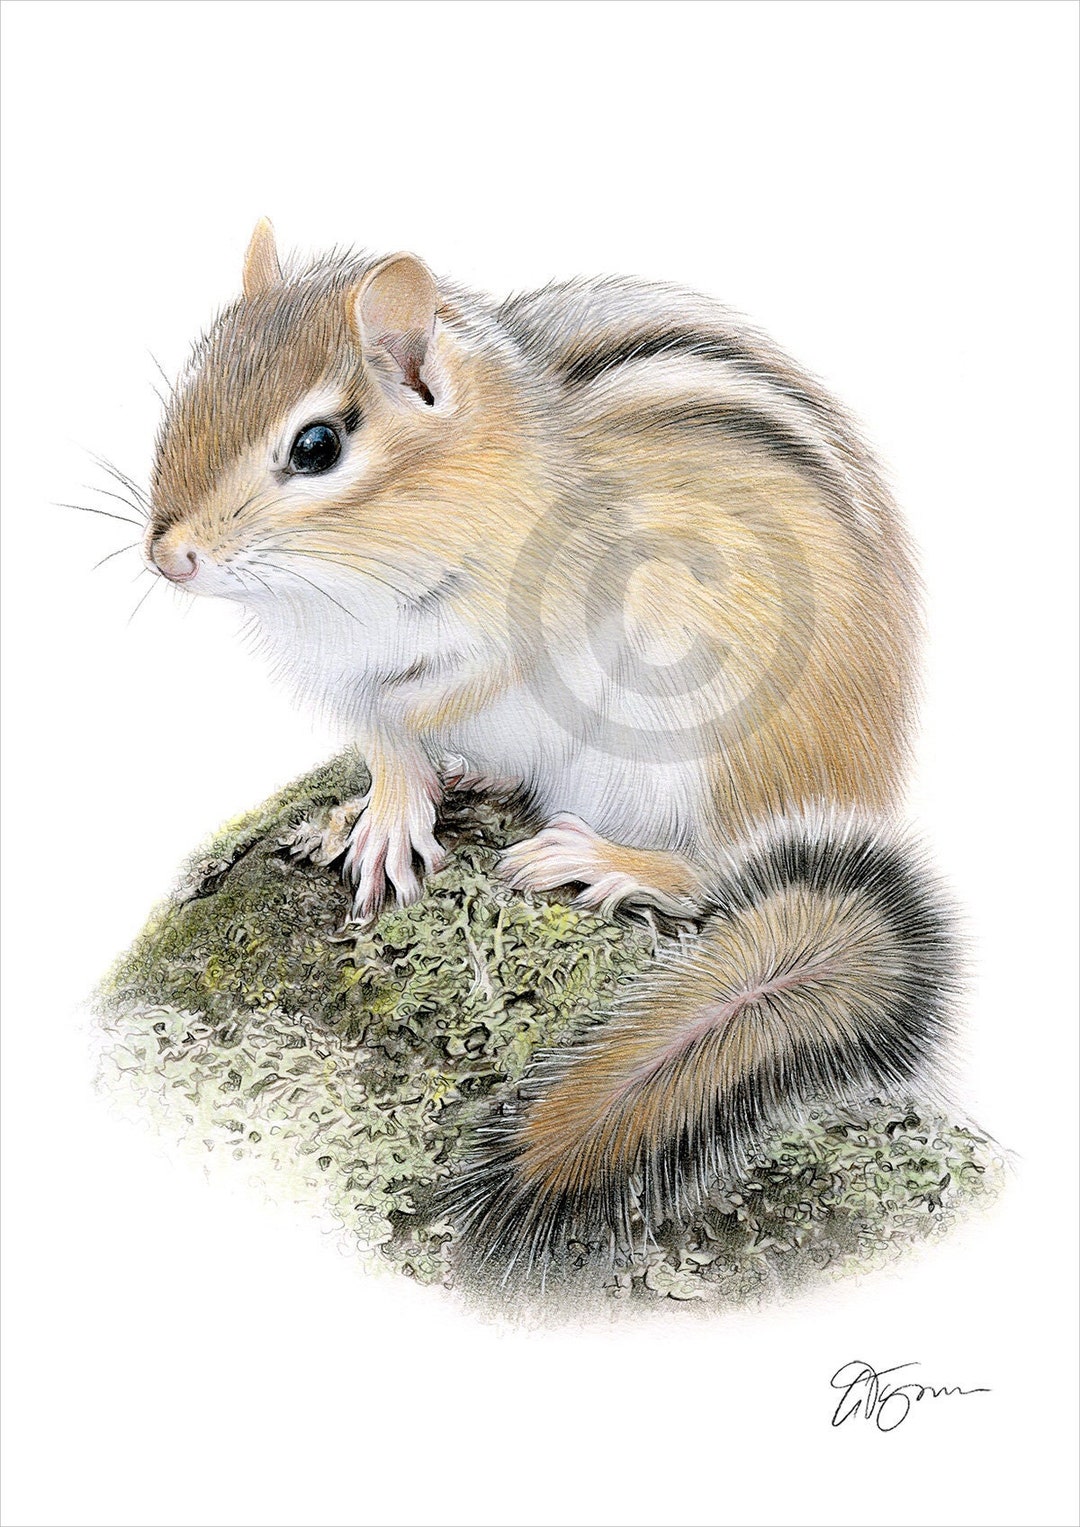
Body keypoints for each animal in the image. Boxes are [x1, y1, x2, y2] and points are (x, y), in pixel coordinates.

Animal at [146, 219, 958, 1274]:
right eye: (187, 385)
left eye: (317, 445)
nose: (168, 556)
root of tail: (865, 789)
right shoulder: (350, 674)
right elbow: (382, 732)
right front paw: (373, 808)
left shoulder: (537, 614)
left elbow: (427, 700)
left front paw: (397, 799)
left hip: (717, 755)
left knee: (711, 868)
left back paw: (606, 860)